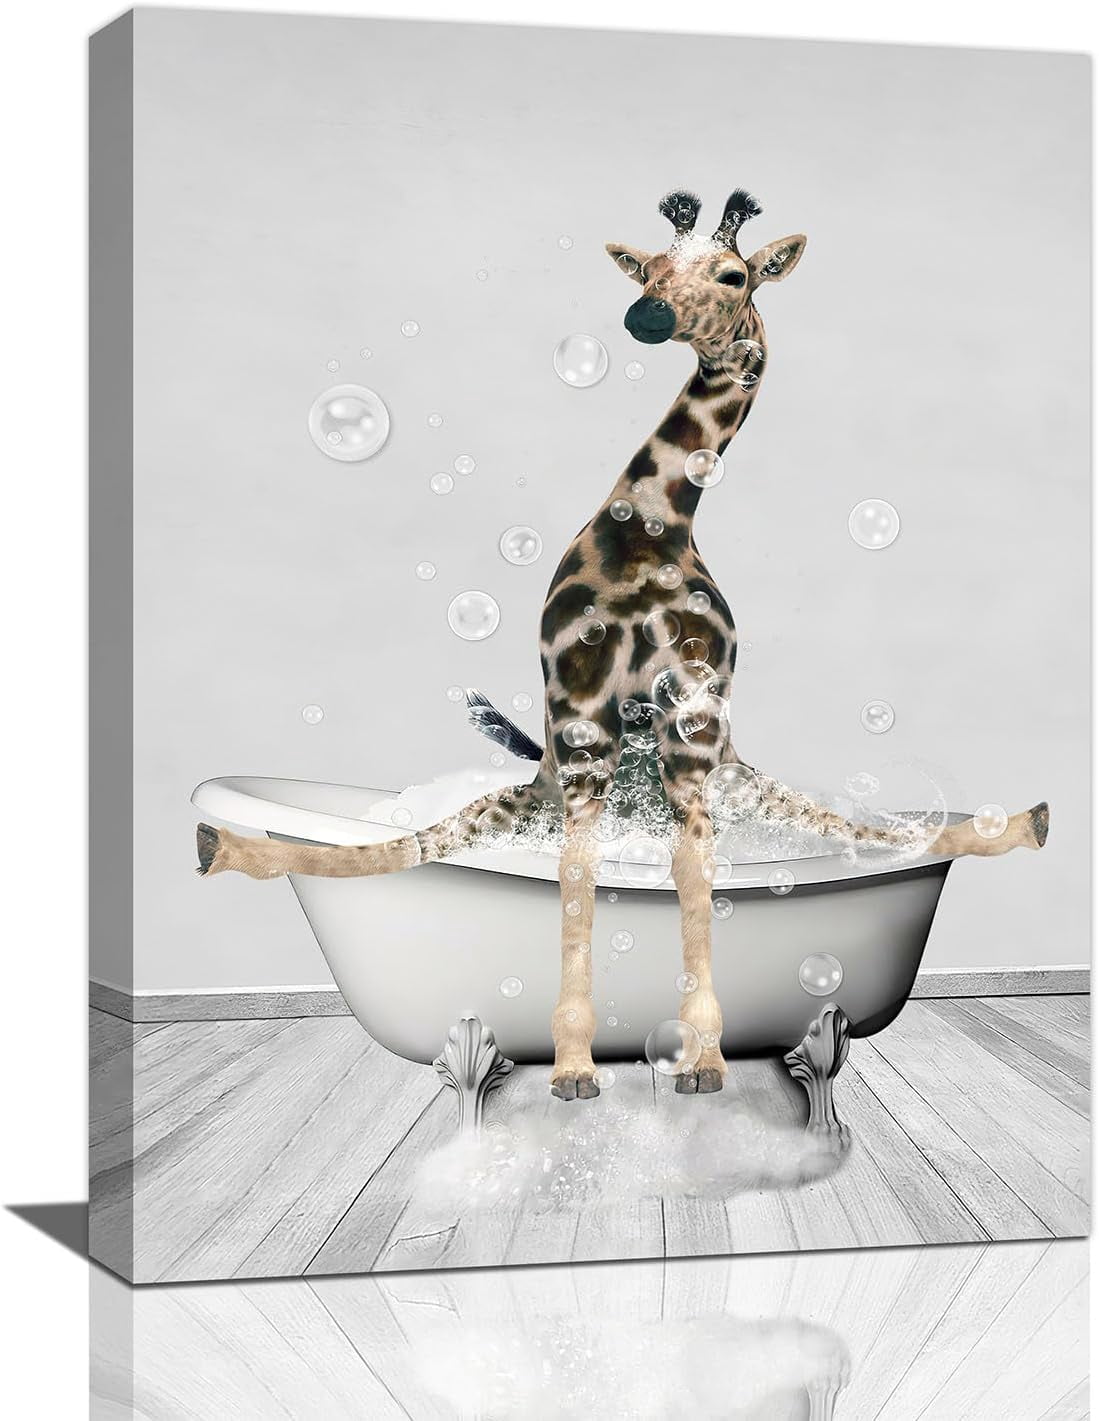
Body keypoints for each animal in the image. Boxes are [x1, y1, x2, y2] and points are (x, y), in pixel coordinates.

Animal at [196, 188, 1049, 1102]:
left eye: (733, 273)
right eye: (651, 267)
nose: (647, 315)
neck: (653, 533)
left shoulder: (691, 725)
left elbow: (692, 877)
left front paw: (704, 1056)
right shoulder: (583, 724)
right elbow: (576, 884)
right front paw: (573, 1064)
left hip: (731, 774)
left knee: (902, 833)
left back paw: (1025, 821)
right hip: (531, 792)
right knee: (398, 844)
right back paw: (221, 844)